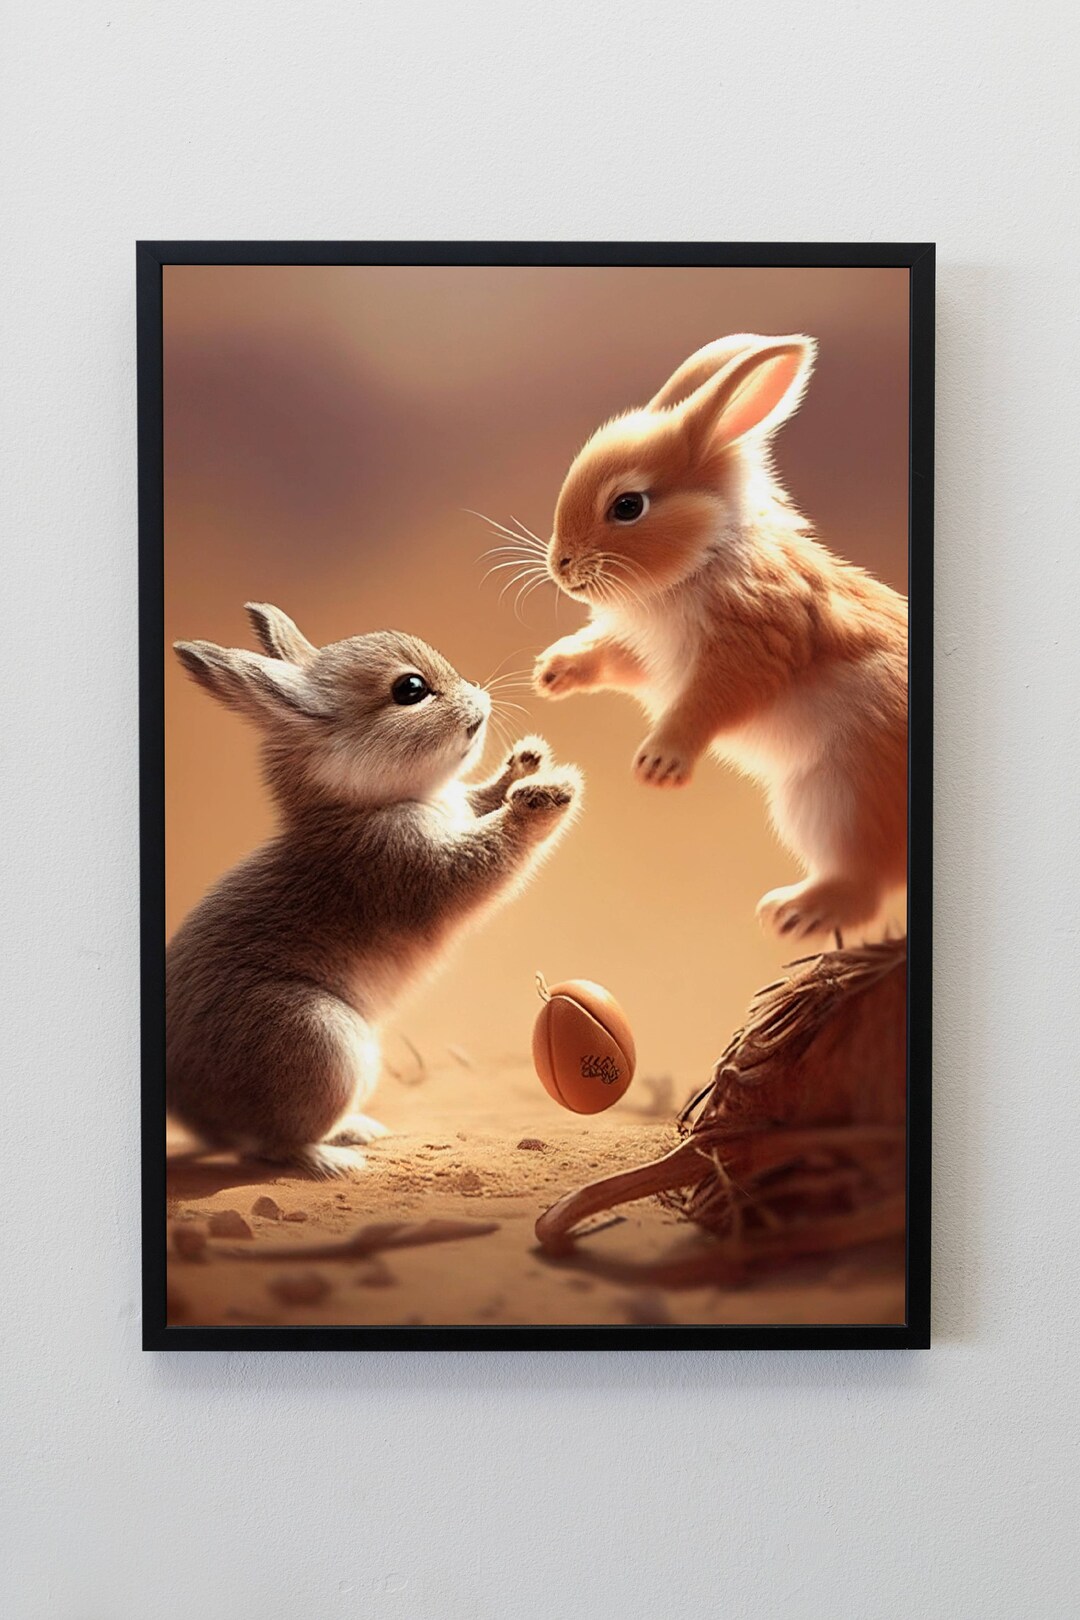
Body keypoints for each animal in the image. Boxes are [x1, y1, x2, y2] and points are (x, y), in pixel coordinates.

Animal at [167, 603, 582, 1177]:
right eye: (410, 689)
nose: (480, 696)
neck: (366, 805)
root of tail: (189, 1108)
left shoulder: (459, 806)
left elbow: (480, 797)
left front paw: (526, 761)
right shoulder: (424, 865)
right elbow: (495, 844)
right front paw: (547, 794)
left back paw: (356, 1131)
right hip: (322, 1039)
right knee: (269, 1146)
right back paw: (333, 1159)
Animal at [532, 333, 907, 943]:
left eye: (627, 506)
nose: (560, 565)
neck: (705, 553)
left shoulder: (751, 646)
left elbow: (706, 704)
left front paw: (659, 765)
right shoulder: (646, 656)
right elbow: (607, 655)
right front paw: (553, 670)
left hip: (840, 803)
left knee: (864, 886)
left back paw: (794, 912)